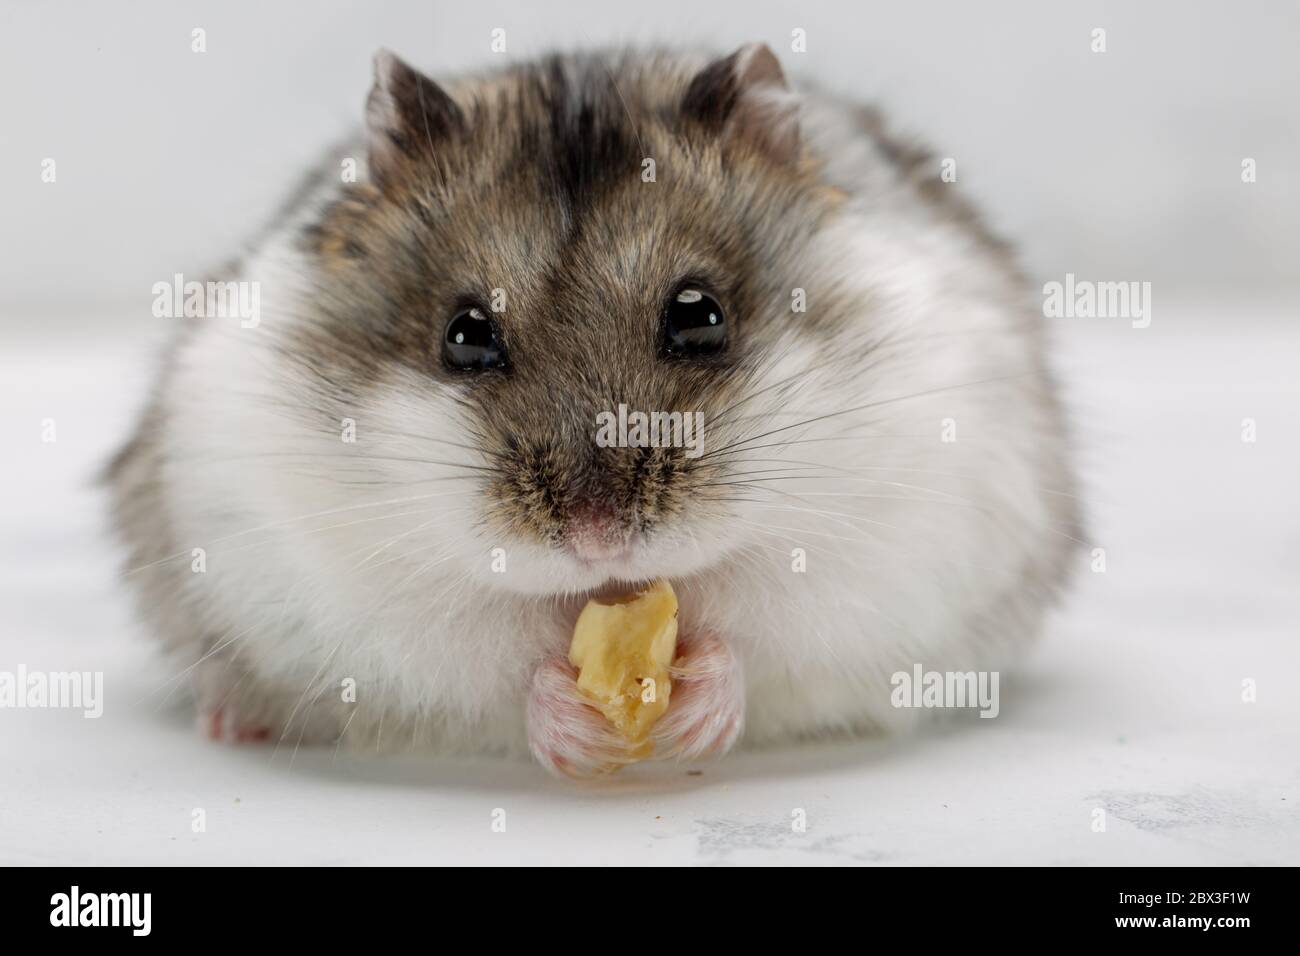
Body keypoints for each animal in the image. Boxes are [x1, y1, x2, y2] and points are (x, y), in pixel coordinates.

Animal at [108, 44, 1079, 775]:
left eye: (700, 315)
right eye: (465, 334)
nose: (598, 539)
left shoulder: (888, 540)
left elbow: (766, 627)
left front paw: (699, 712)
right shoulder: (340, 575)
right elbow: (483, 654)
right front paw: (570, 725)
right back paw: (231, 721)